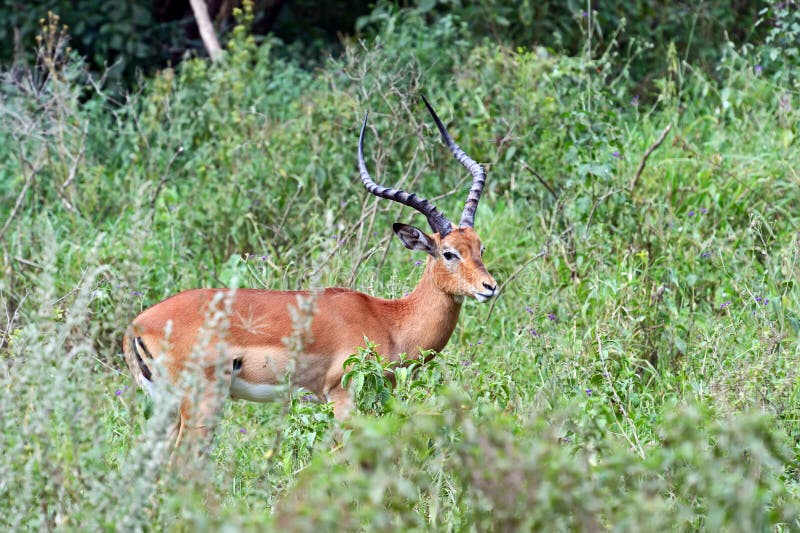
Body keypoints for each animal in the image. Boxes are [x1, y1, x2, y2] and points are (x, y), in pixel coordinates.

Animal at [122, 96, 497, 447]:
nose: (489, 286)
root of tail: (137, 325)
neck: (390, 320)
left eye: (479, 248)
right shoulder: (344, 397)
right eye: (448, 253)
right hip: (201, 404)